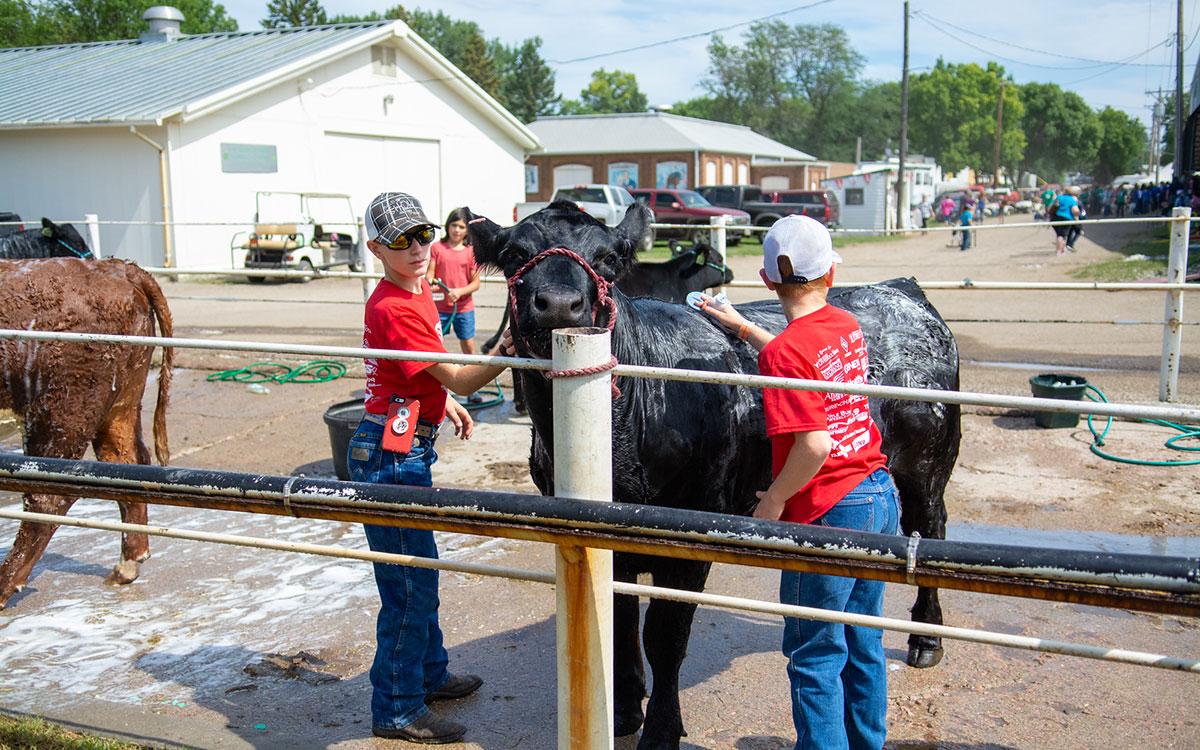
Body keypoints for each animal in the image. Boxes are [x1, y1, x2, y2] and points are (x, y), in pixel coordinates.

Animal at [0, 258, 173, 608]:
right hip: (118, 404)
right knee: (126, 462)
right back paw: (127, 565)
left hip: (59, 409)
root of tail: (120, 268)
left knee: (47, 496)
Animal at [466, 201, 960, 750]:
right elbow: (619, 620)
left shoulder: (694, 530)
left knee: (930, 527)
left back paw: (926, 638)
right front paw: (623, 709)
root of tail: (899, 288)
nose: (558, 304)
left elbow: (664, 636)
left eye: (609, 259)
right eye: (515, 254)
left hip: (928, 464)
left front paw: (661, 730)